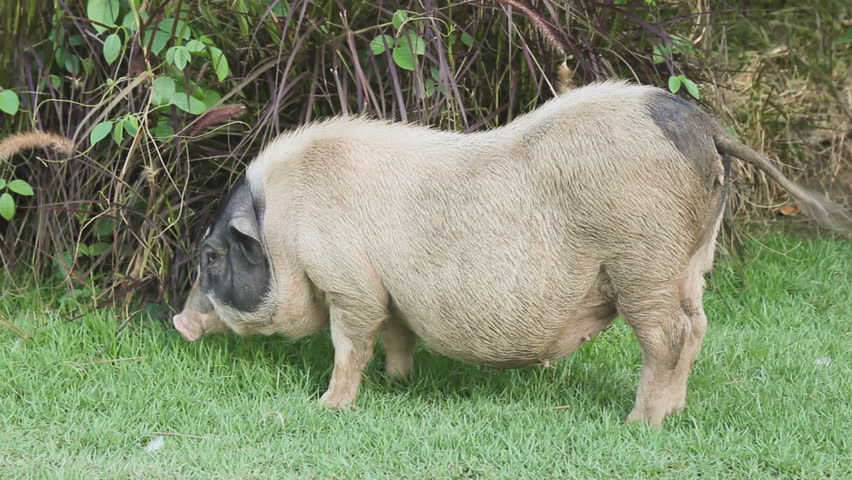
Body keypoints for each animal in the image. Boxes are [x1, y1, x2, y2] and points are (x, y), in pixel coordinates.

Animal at [173, 81, 852, 425]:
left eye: (211, 257)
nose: (179, 322)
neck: (285, 229)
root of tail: (706, 128)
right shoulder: (388, 290)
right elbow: (395, 333)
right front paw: (399, 383)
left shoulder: (349, 281)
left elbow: (350, 342)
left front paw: (328, 407)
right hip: (692, 260)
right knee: (700, 324)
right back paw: (675, 412)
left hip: (643, 260)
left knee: (668, 335)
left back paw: (641, 423)